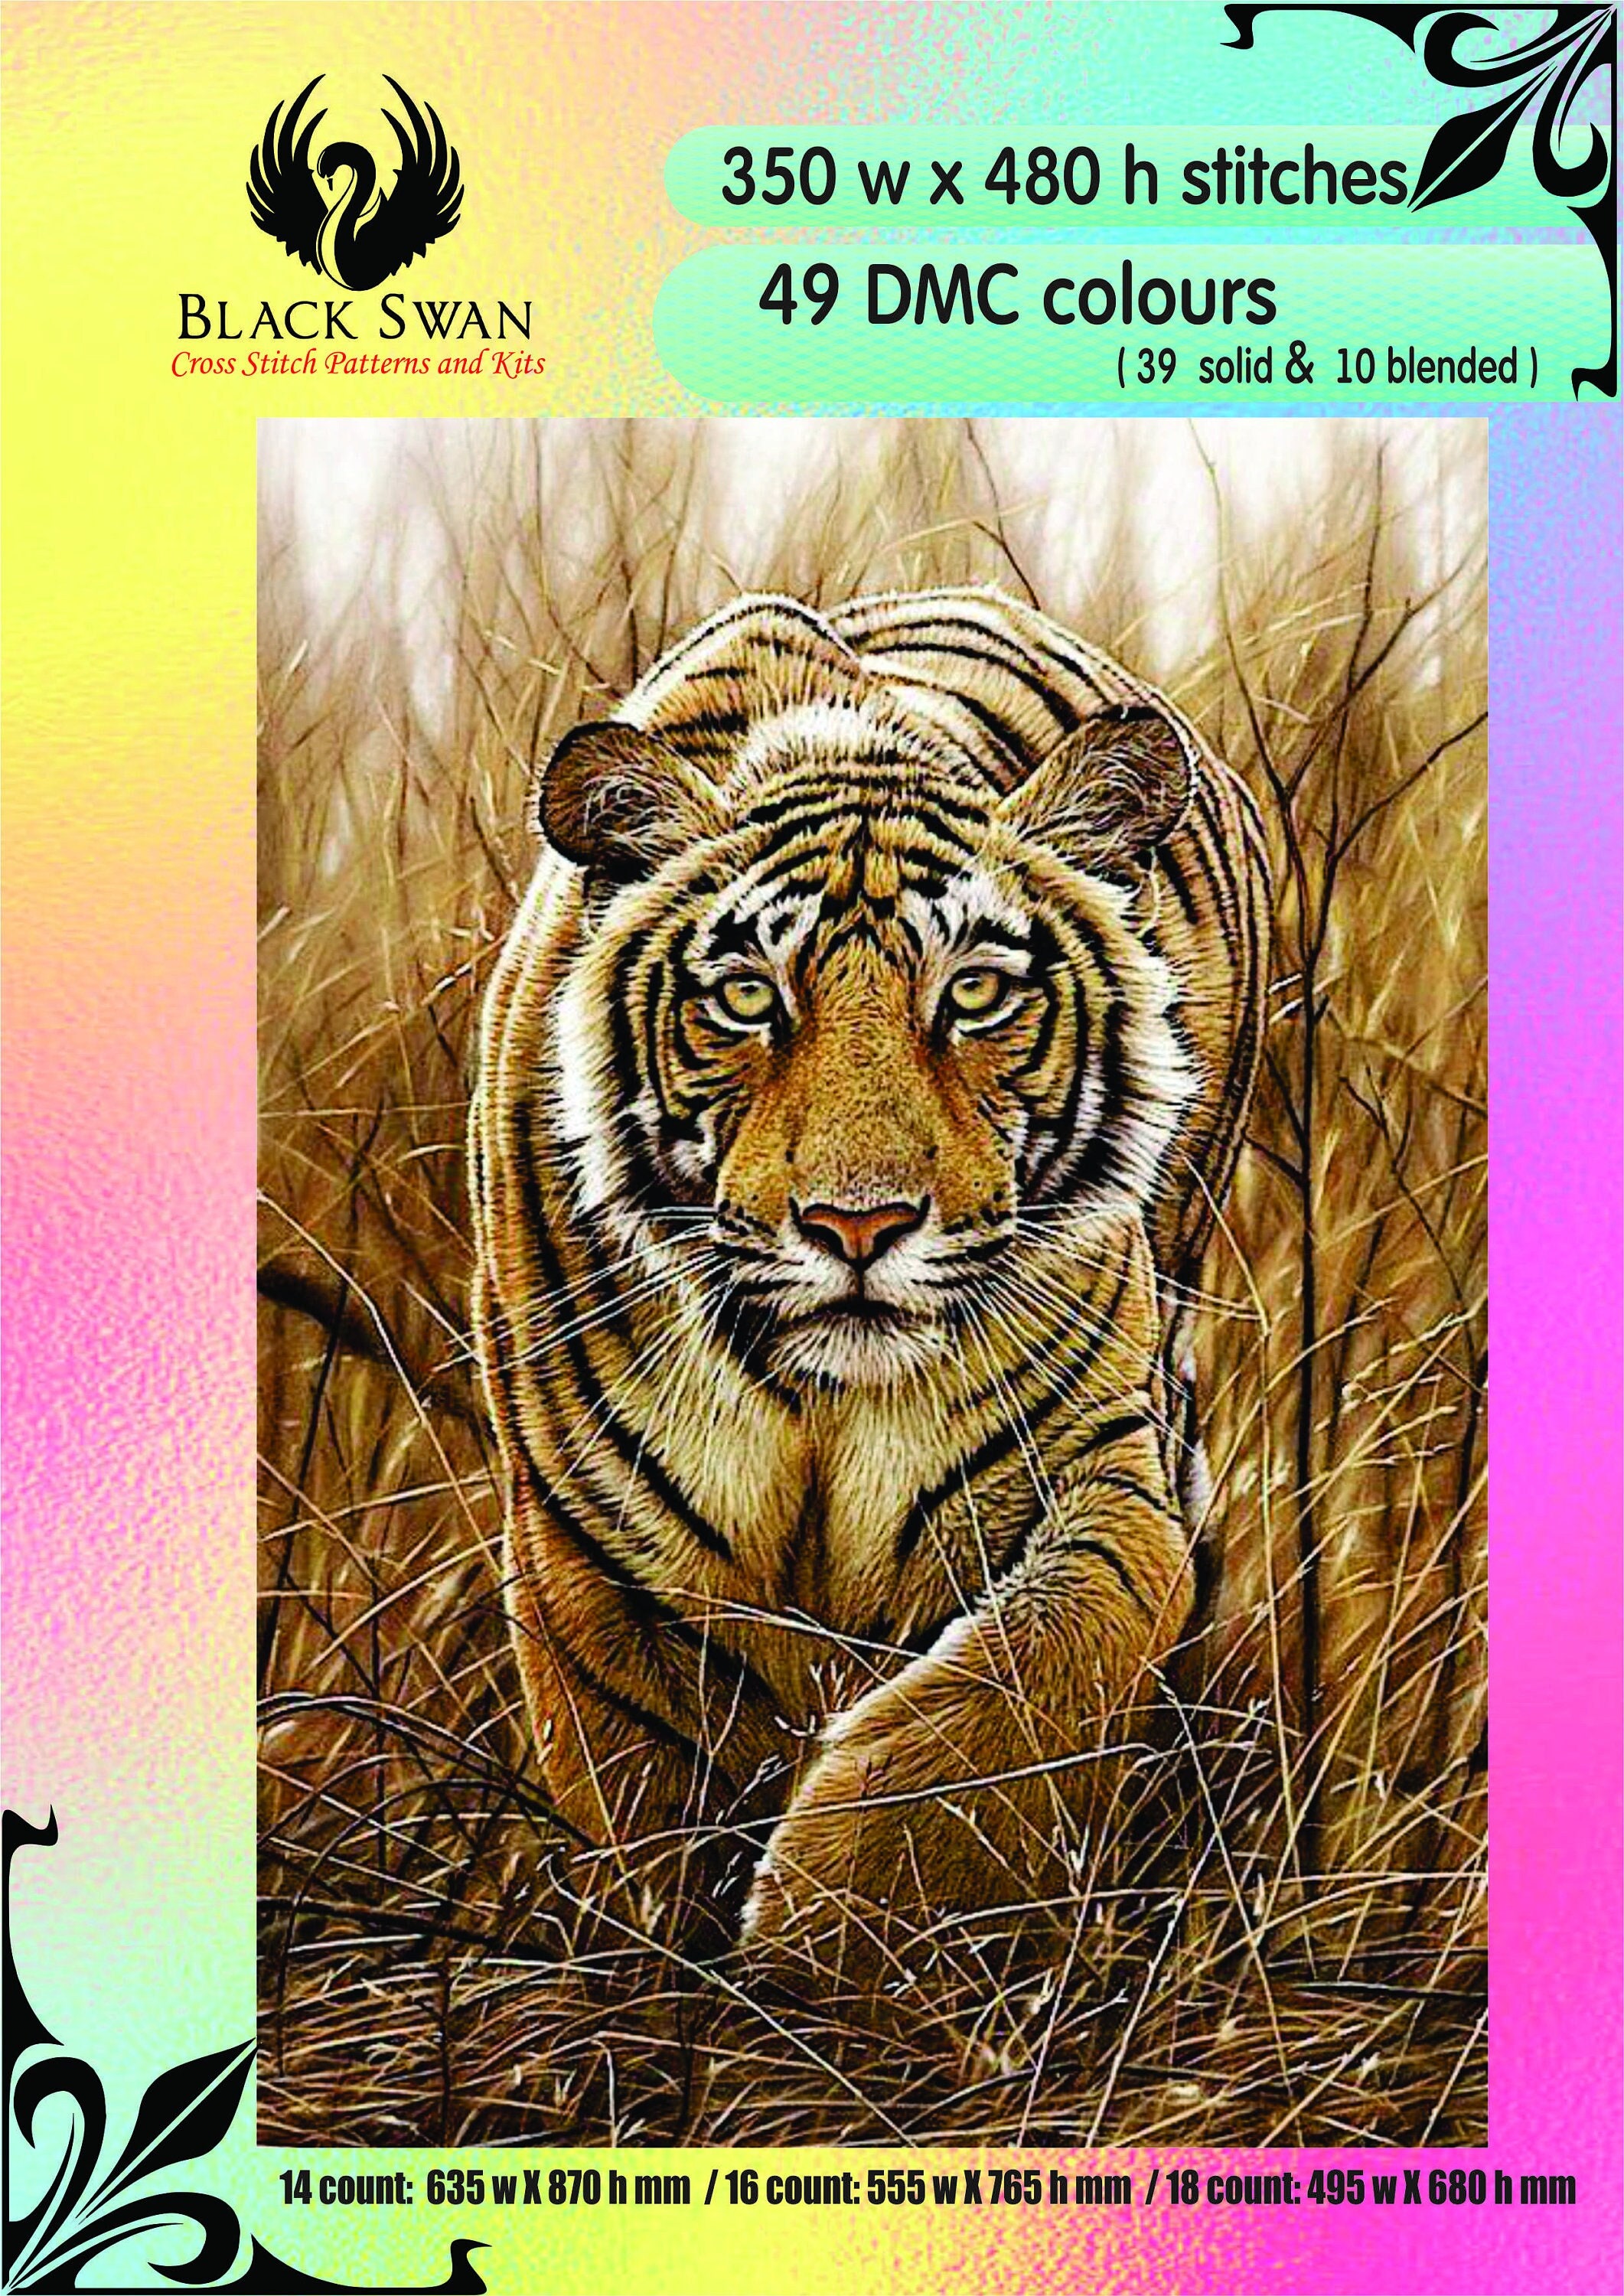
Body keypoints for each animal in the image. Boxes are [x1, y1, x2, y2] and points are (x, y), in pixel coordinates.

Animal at [469, 586, 1270, 1981]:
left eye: (976, 993)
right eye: (746, 998)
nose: (860, 1225)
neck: (811, 1400)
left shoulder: (1105, 1462)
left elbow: (1029, 1671)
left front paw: (836, 1938)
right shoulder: (584, 1540)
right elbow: (641, 1785)